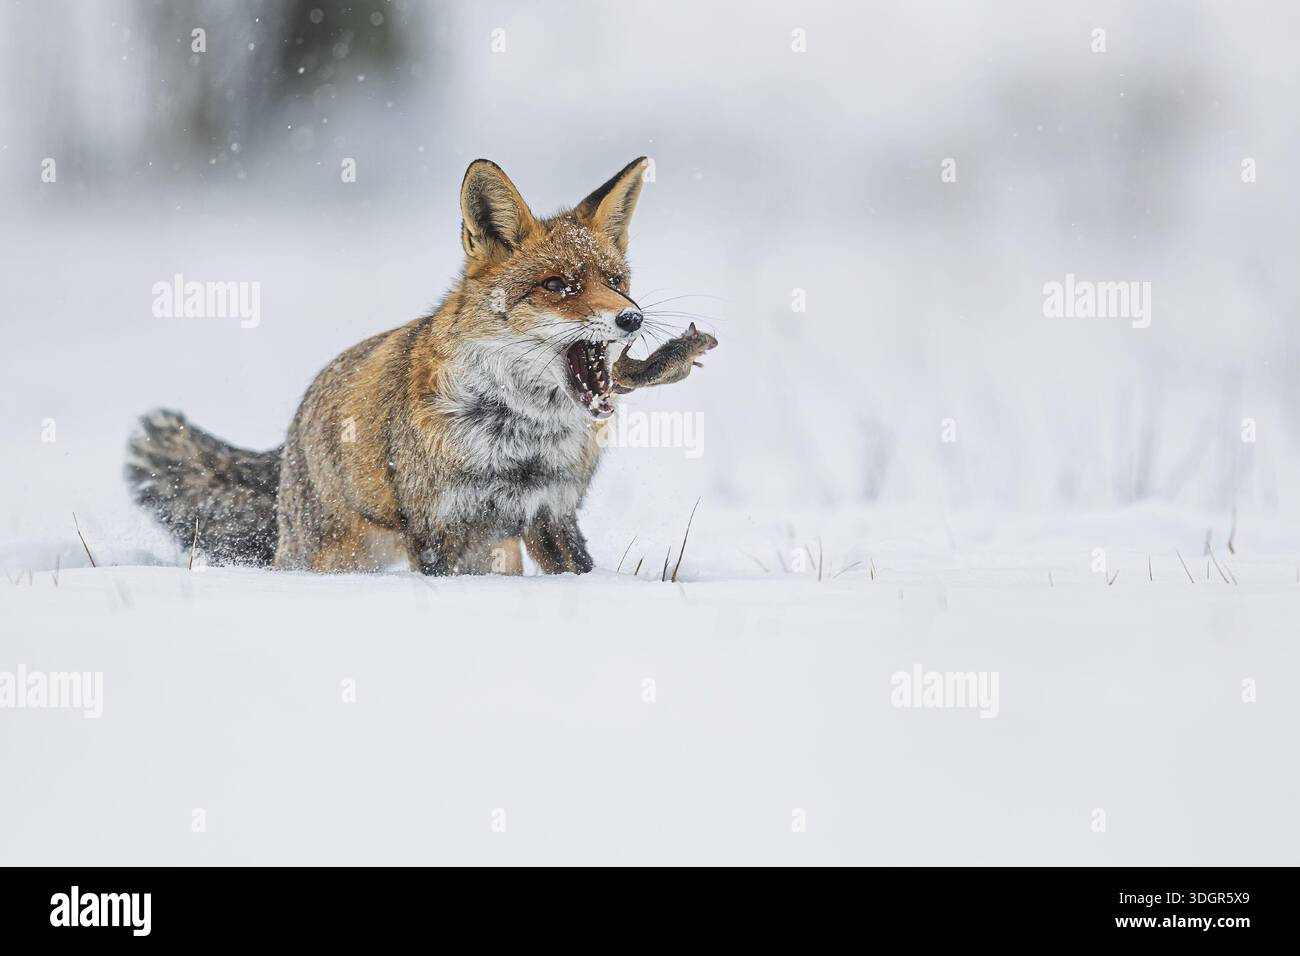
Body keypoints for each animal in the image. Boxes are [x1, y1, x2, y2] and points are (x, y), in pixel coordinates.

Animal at [126, 157, 717, 575]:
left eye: (615, 282)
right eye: (556, 285)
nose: (632, 318)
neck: (520, 439)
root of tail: (293, 427)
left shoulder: (551, 516)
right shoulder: (441, 530)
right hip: (328, 556)